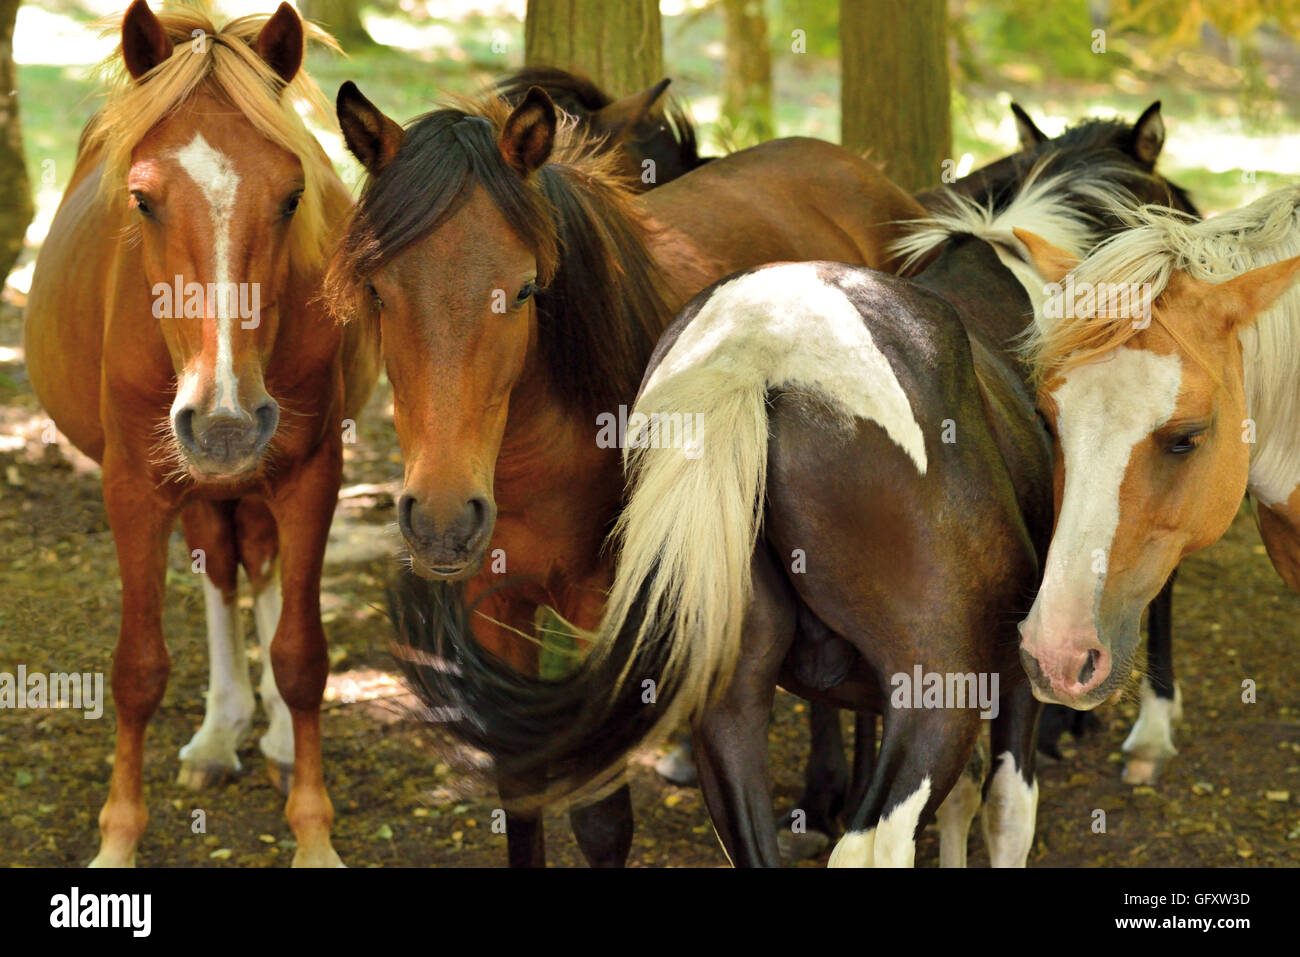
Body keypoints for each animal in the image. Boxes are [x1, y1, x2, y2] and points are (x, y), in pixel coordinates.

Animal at [22, 1, 380, 866]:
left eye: (292, 196)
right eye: (143, 199)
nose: (224, 422)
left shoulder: (312, 474)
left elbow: (301, 655)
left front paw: (314, 835)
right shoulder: (134, 486)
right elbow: (138, 668)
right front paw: (117, 837)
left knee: (260, 566)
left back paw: (271, 734)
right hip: (197, 483)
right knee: (222, 565)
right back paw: (220, 732)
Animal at [324, 81, 932, 866]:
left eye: (526, 290)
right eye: (377, 292)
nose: (440, 519)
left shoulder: (605, 611)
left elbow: (602, 818)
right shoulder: (492, 612)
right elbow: (519, 791)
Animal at [388, 112, 1199, 867]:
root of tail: (757, 352)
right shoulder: (1017, 676)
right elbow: (1004, 809)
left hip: (728, 700)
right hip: (936, 690)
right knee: (875, 844)